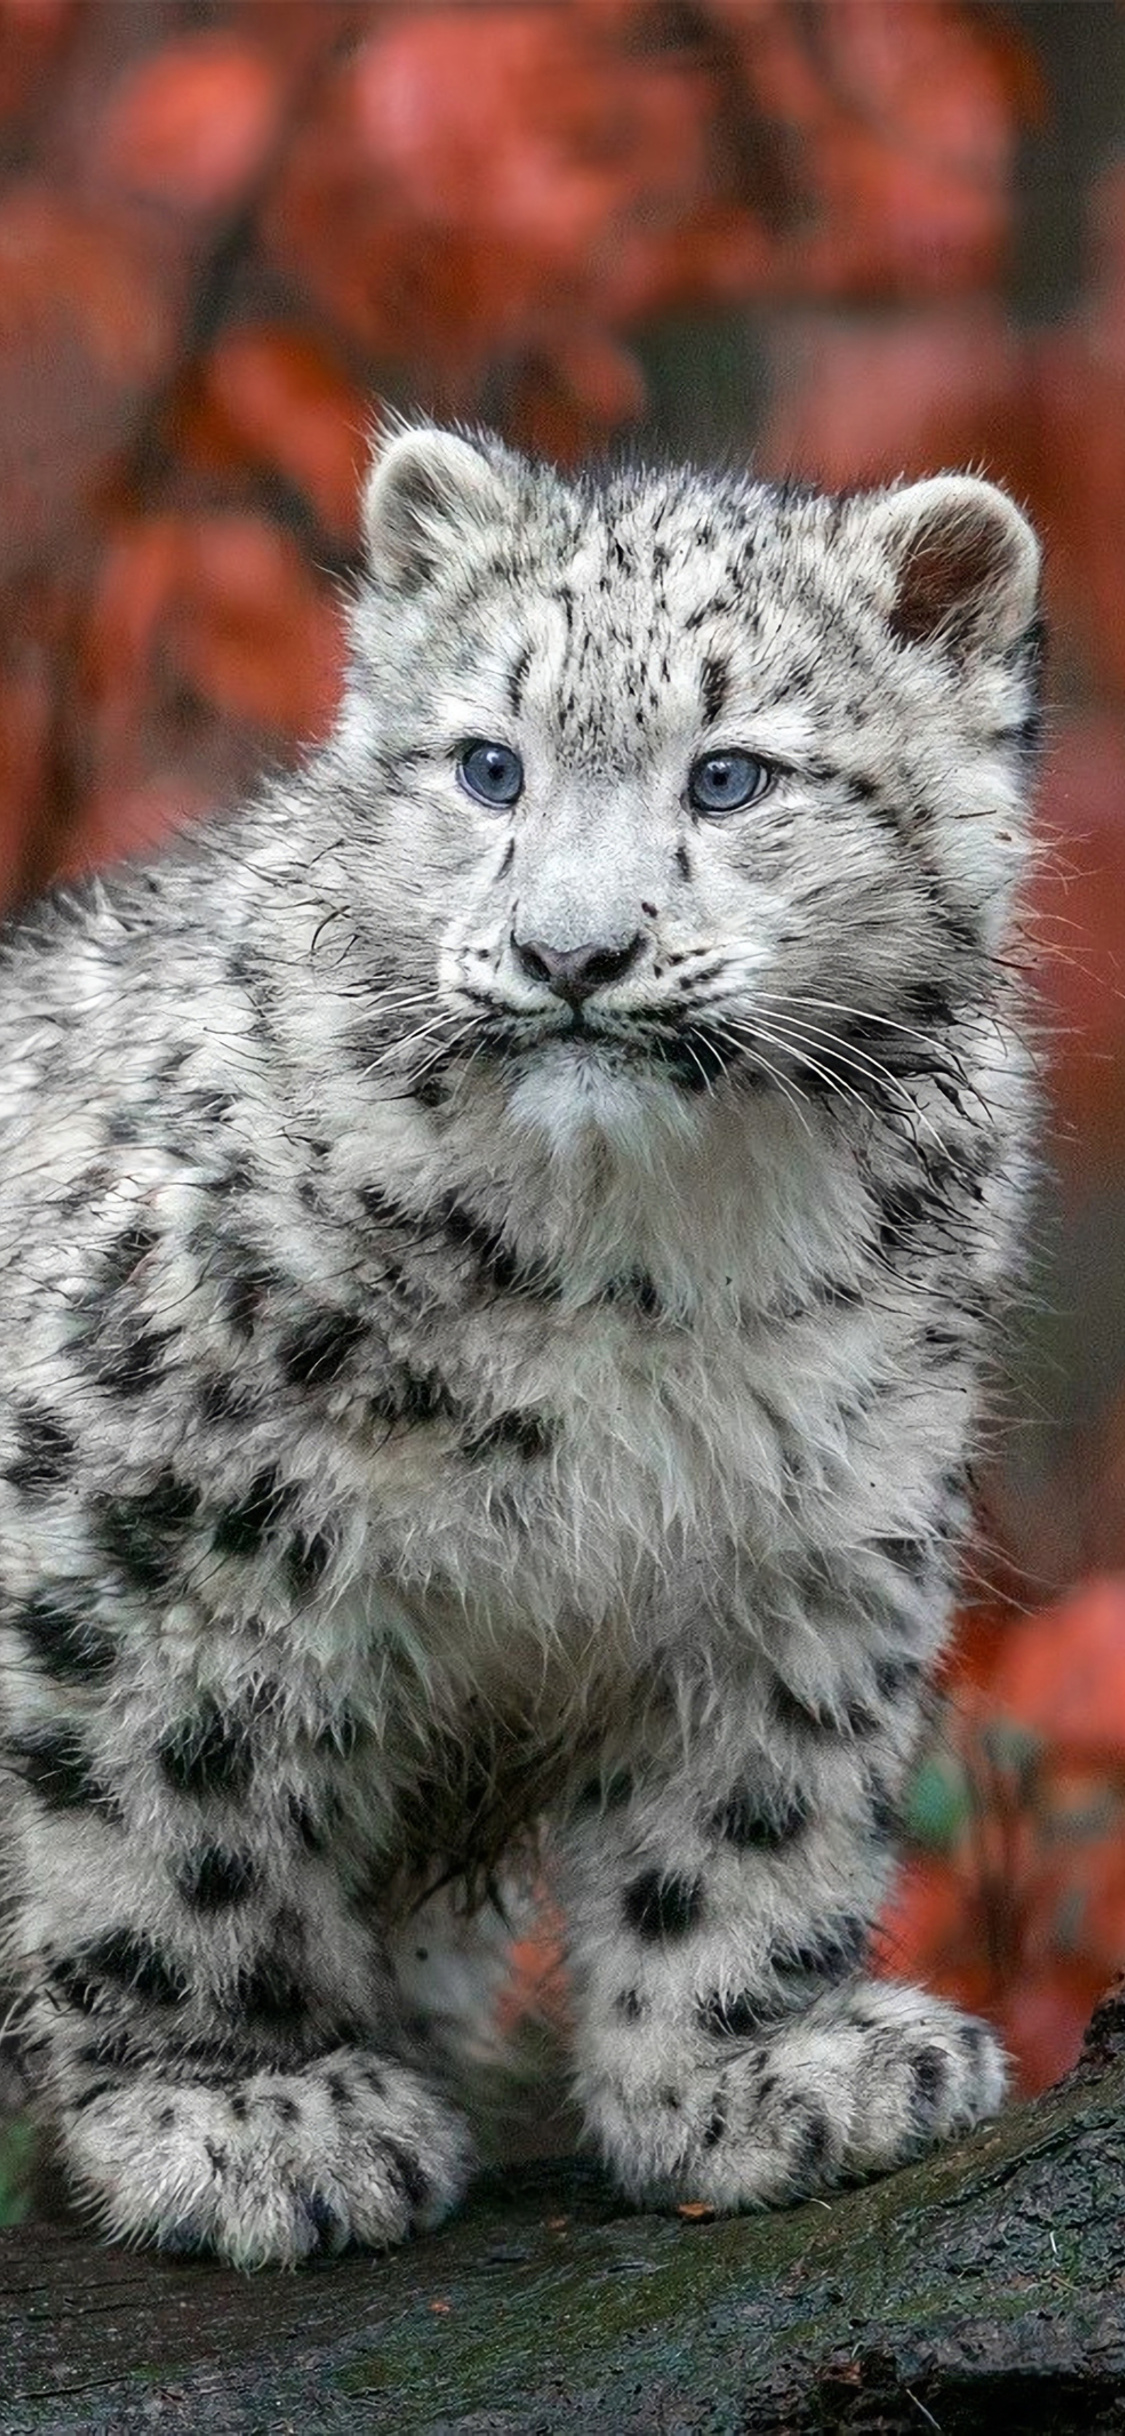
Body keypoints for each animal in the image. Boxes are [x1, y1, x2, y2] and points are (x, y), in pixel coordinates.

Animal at [0, 423, 1041, 2265]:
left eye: (729, 778)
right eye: (490, 764)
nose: (571, 953)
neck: (650, 1261)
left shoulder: (822, 1526)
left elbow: (750, 1820)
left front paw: (757, 2077)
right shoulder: (147, 1508)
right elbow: (169, 1814)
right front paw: (239, 2117)